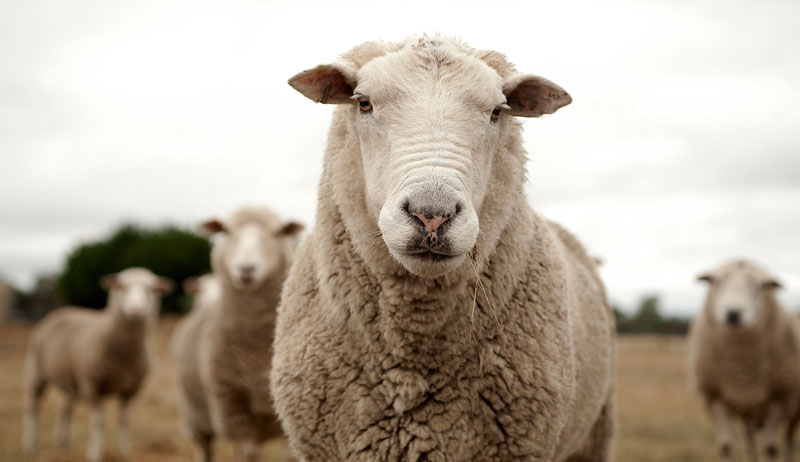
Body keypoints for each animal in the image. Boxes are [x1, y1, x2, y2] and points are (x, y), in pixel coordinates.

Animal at [21, 267, 173, 462]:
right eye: (121, 287)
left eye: (151, 289)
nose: (136, 309)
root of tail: (60, 311)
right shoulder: (92, 385)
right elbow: (99, 422)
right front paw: (95, 454)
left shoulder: (131, 389)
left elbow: (124, 420)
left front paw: (124, 452)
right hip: (36, 372)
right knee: (32, 408)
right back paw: (31, 445)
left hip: (68, 381)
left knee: (65, 410)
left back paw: (62, 445)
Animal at [171, 207, 303, 462]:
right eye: (226, 231)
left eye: (277, 232)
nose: (246, 269)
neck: (257, 347)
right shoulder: (230, 403)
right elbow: (248, 452)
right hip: (194, 417)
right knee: (204, 449)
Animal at [688, 259, 800, 462]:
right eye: (717, 282)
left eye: (761, 286)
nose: (733, 313)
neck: (741, 368)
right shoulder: (715, 399)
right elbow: (726, 446)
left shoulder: (779, 399)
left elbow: (771, 448)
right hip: (748, 410)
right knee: (750, 441)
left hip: (793, 408)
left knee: (789, 440)